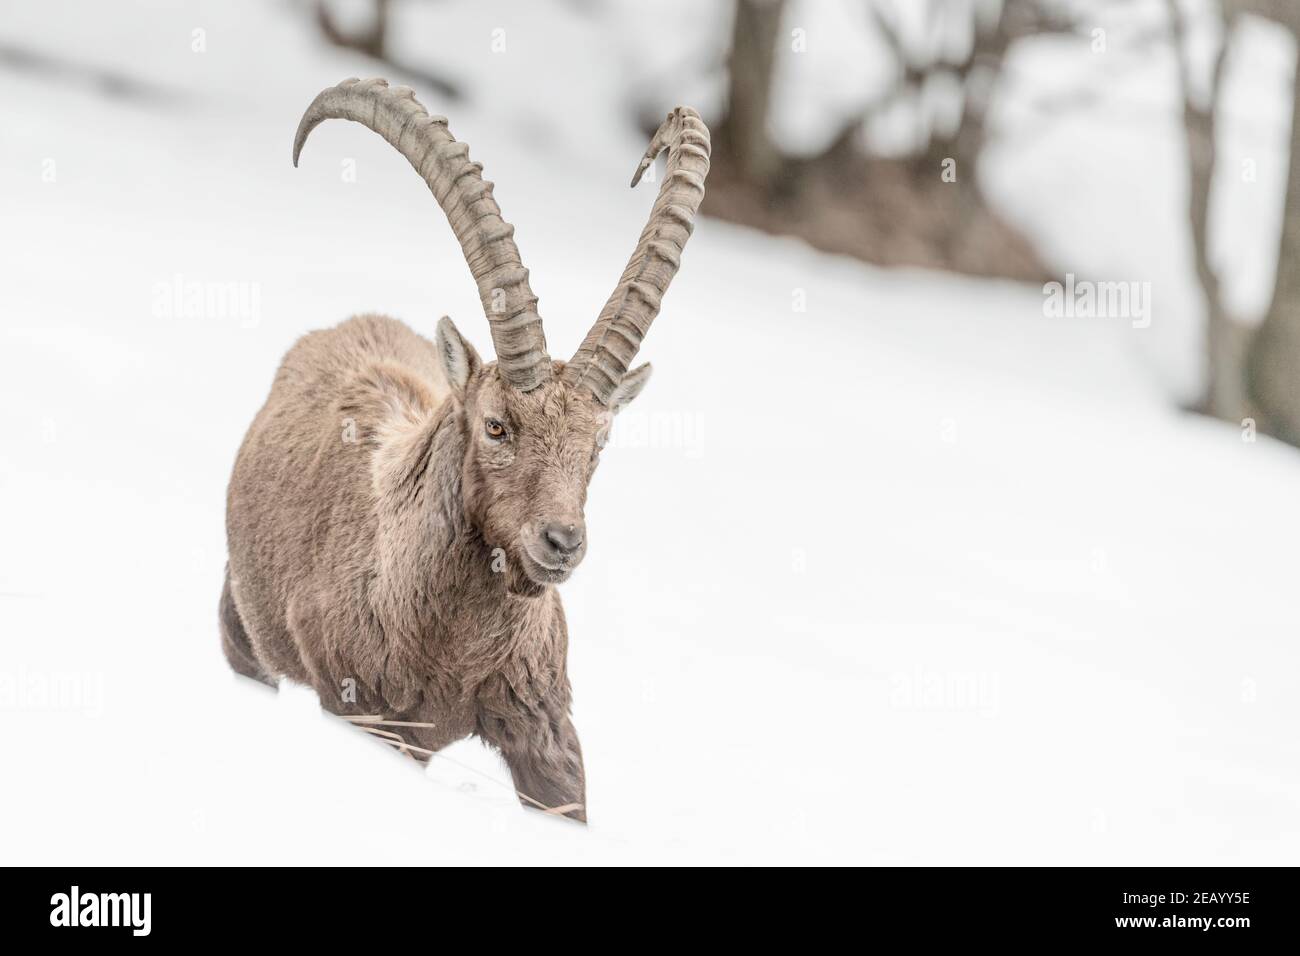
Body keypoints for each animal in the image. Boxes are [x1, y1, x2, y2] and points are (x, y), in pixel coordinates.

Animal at [221, 78, 709, 822]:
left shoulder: (544, 730)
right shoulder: (367, 714)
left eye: (598, 442)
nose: (562, 541)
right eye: (497, 425)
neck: (452, 650)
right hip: (244, 627)